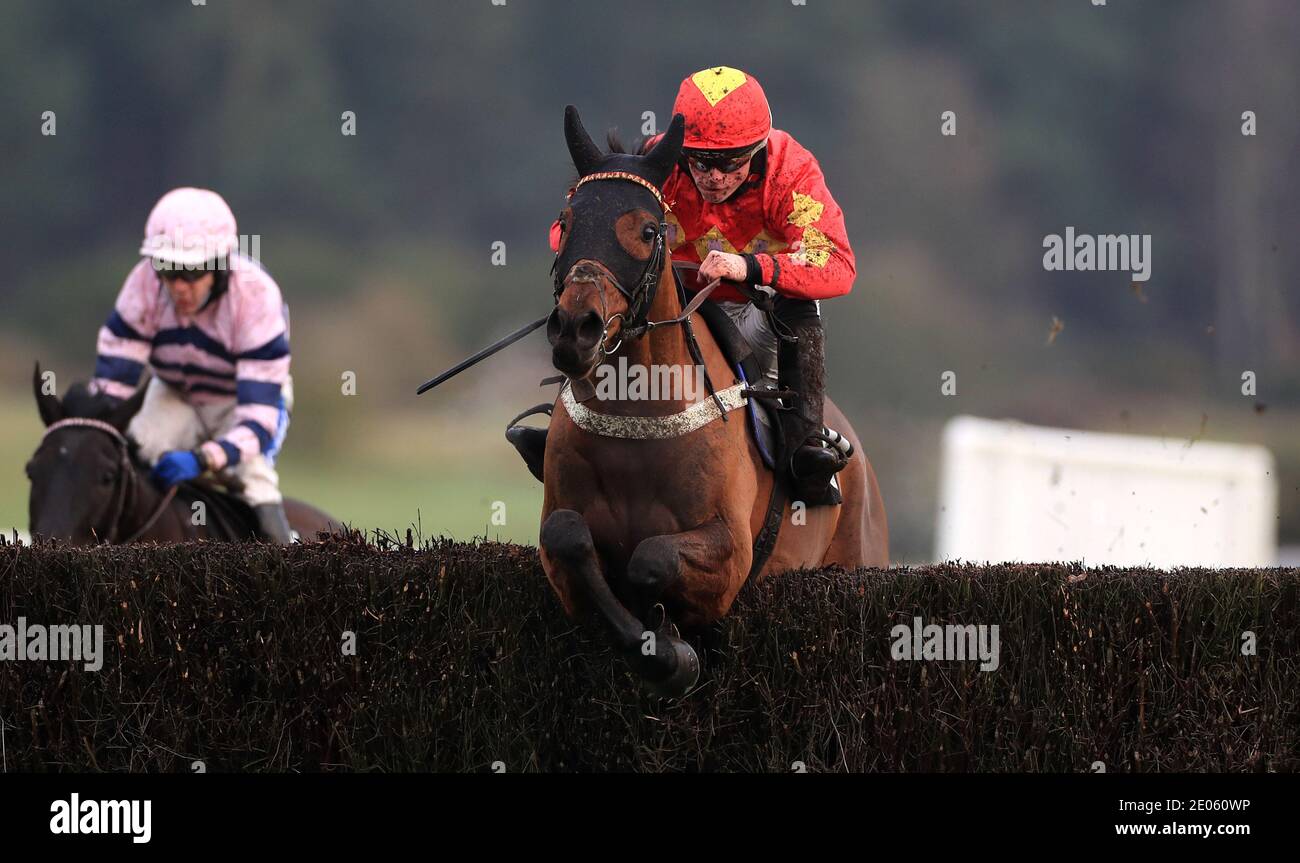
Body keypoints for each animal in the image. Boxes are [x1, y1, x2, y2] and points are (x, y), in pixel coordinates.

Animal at [538, 106, 888, 695]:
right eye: (565, 221)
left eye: (649, 230)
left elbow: (650, 560)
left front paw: (669, 651)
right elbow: (566, 537)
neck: (637, 415)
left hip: (856, 562)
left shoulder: (729, 553)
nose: (574, 329)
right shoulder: (558, 549)